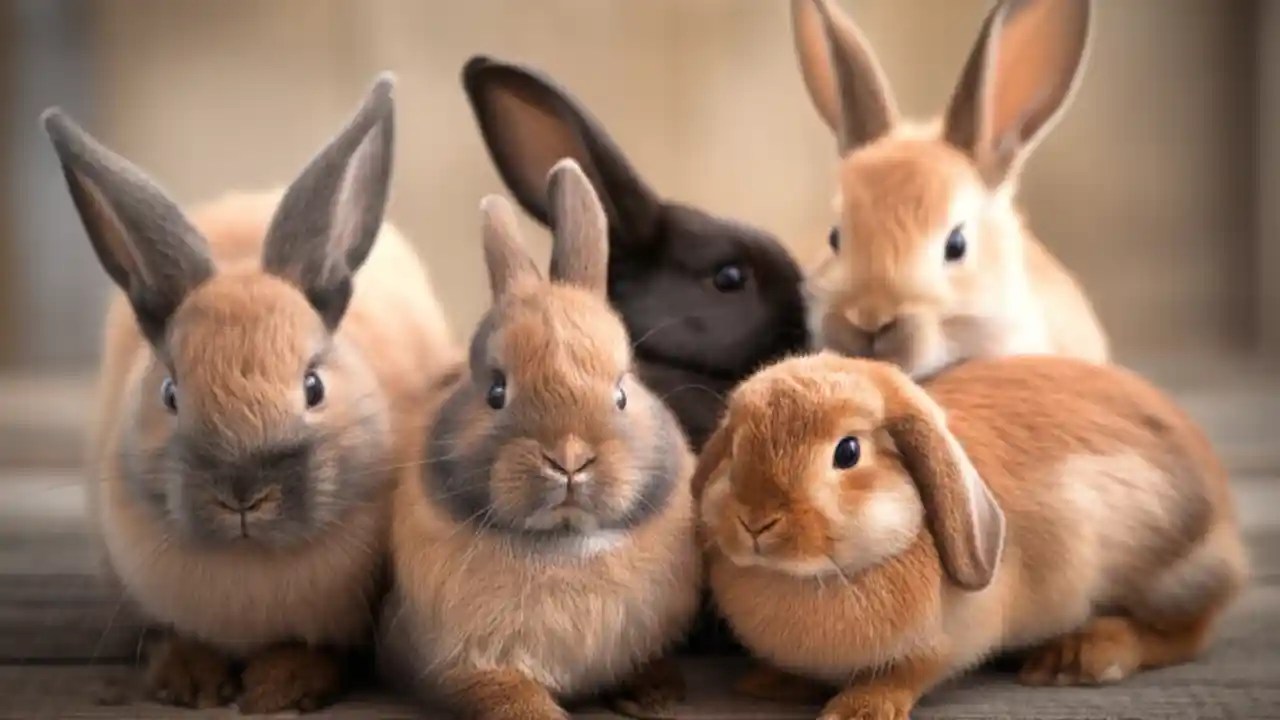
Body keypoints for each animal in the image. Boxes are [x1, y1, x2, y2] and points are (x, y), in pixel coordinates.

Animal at [46, 74, 456, 713]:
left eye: (313, 386)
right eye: (170, 392)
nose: (242, 493)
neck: (248, 566)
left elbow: (317, 651)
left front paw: (279, 687)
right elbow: (172, 636)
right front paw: (190, 680)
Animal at [381, 159, 701, 720]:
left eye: (622, 391)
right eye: (496, 390)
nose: (570, 458)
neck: (563, 547)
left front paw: (655, 694)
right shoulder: (460, 664)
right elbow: (503, 691)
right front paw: (538, 711)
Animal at [693, 351, 1247, 719]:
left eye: (848, 452)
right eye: (735, 447)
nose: (755, 521)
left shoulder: (947, 641)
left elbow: (908, 673)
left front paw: (860, 708)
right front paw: (770, 682)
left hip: (1171, 572)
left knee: (1188, 632)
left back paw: (1082, 657)